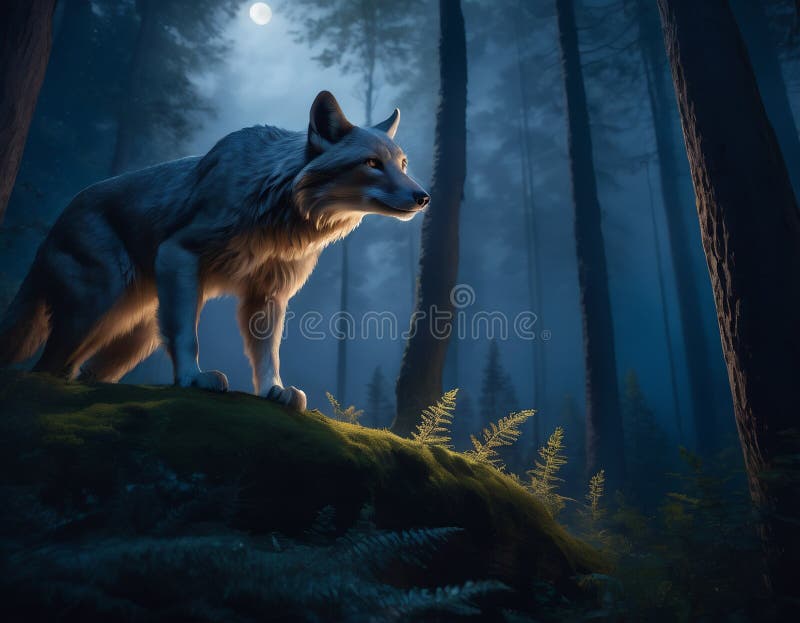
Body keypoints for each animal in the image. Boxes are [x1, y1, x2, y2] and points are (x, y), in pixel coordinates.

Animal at [0, 91, 428, 411]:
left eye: (403, 164)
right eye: (372, 163)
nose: (423, 197)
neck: (278, 205)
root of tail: (55, 225)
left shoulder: (268, 294)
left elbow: (267, 353)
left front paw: (274, 390)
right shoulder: (179, 254)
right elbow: (189, 336)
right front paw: (193, 379)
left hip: (138, 335)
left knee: (82, 370)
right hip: (96, 309)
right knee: (45, 367)